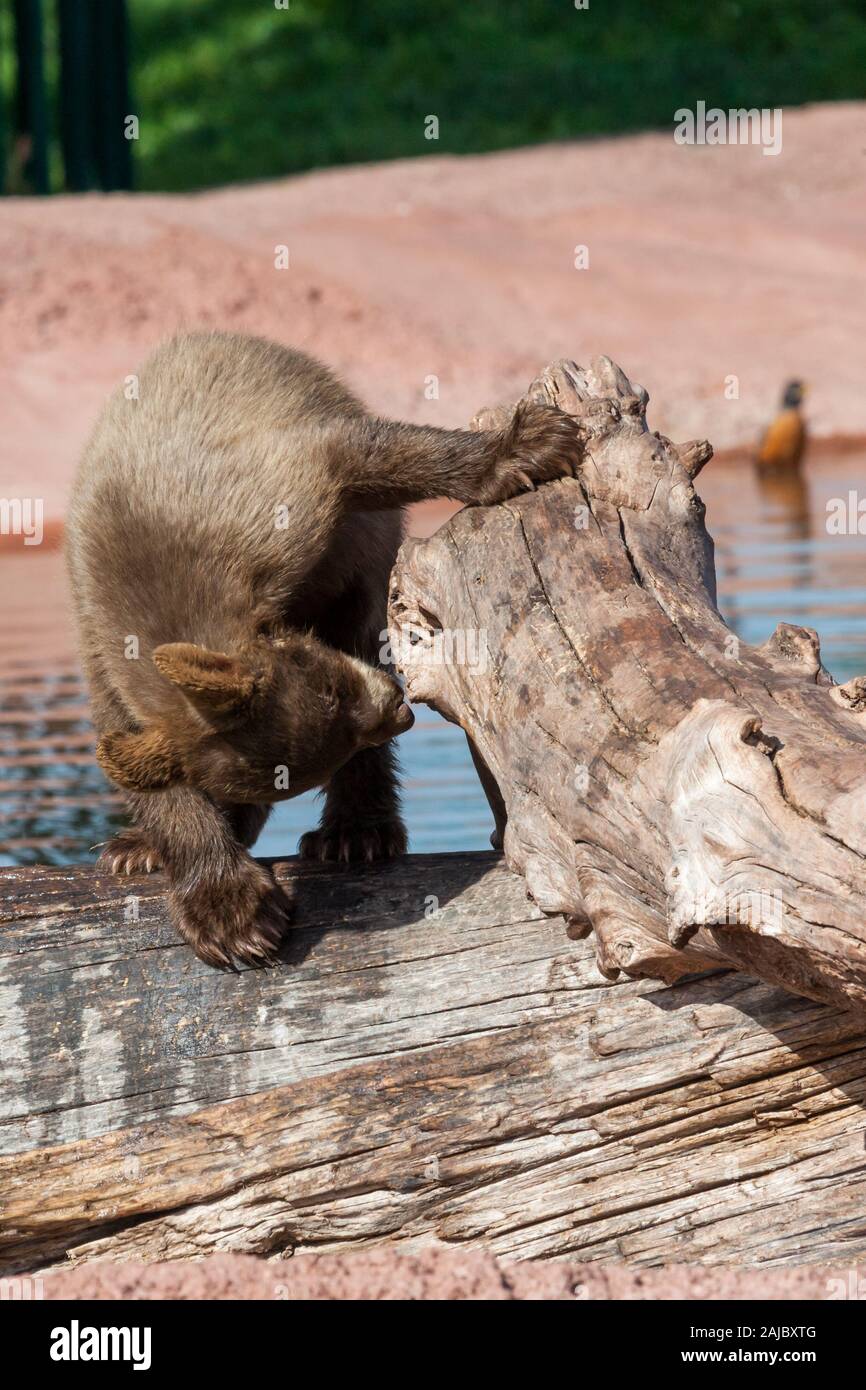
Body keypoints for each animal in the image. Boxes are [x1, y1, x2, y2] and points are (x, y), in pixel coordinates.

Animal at [65, 331, 581, 966]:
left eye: (335, 691)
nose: (399, 712)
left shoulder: (271, 505)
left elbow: (360, 457)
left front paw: (527, 446)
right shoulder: (100, 638)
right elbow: (147, 767)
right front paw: (229, 912)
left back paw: (356, 832)